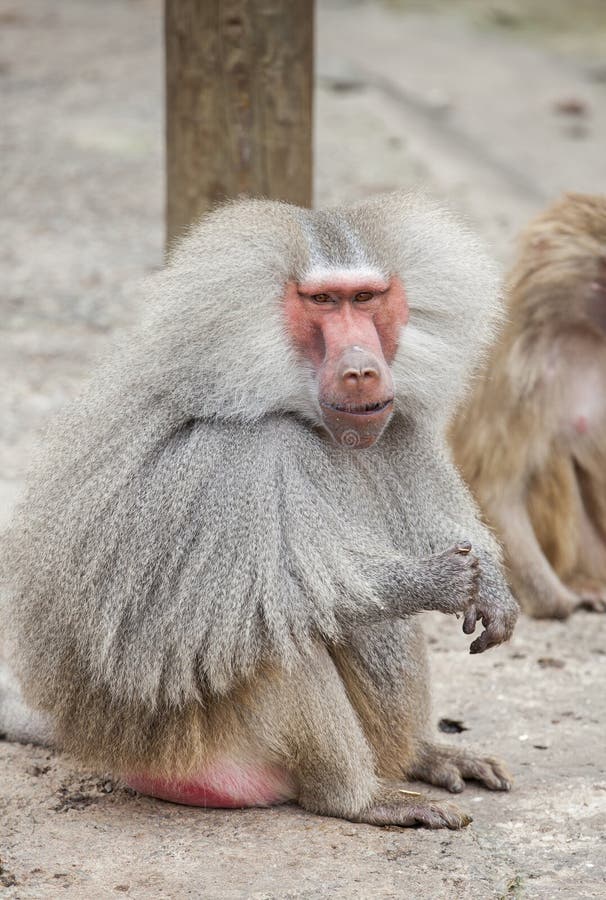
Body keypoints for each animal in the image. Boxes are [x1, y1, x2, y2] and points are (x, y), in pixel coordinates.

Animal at [0, 192, 518, 830]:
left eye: (365, 299)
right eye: (321, 302)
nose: (361, 370)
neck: (290, 406)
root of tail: (97, 744)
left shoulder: (399, 429)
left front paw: (490, 584)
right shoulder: (232, 463)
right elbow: (234, 610)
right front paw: (441, 579)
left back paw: (424, 755)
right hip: (190, 747)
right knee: (269, 628)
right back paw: (360, 798)